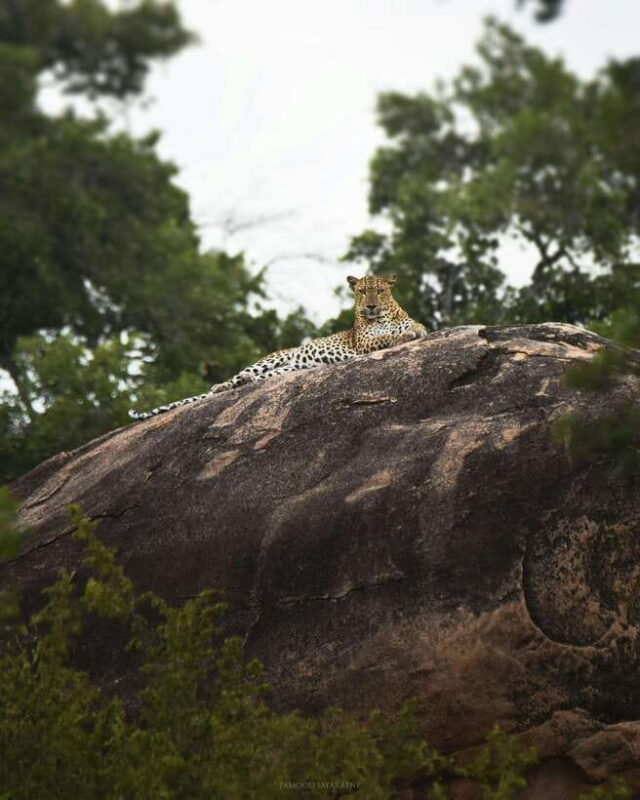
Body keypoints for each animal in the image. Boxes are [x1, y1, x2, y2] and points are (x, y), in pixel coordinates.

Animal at [129, 273, 428, 420]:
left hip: (286, 369)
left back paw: (246, 383)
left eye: (381, 291)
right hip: (271, 360)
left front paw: (412, 333)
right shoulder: (364, 342)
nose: (371, 306)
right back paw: (222, 387)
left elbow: (415, 327)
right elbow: (383, 338)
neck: (384, 317)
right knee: (235, 377)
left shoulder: (409, 322)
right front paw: (402, 337)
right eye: (362, 291)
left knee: (254, 378)